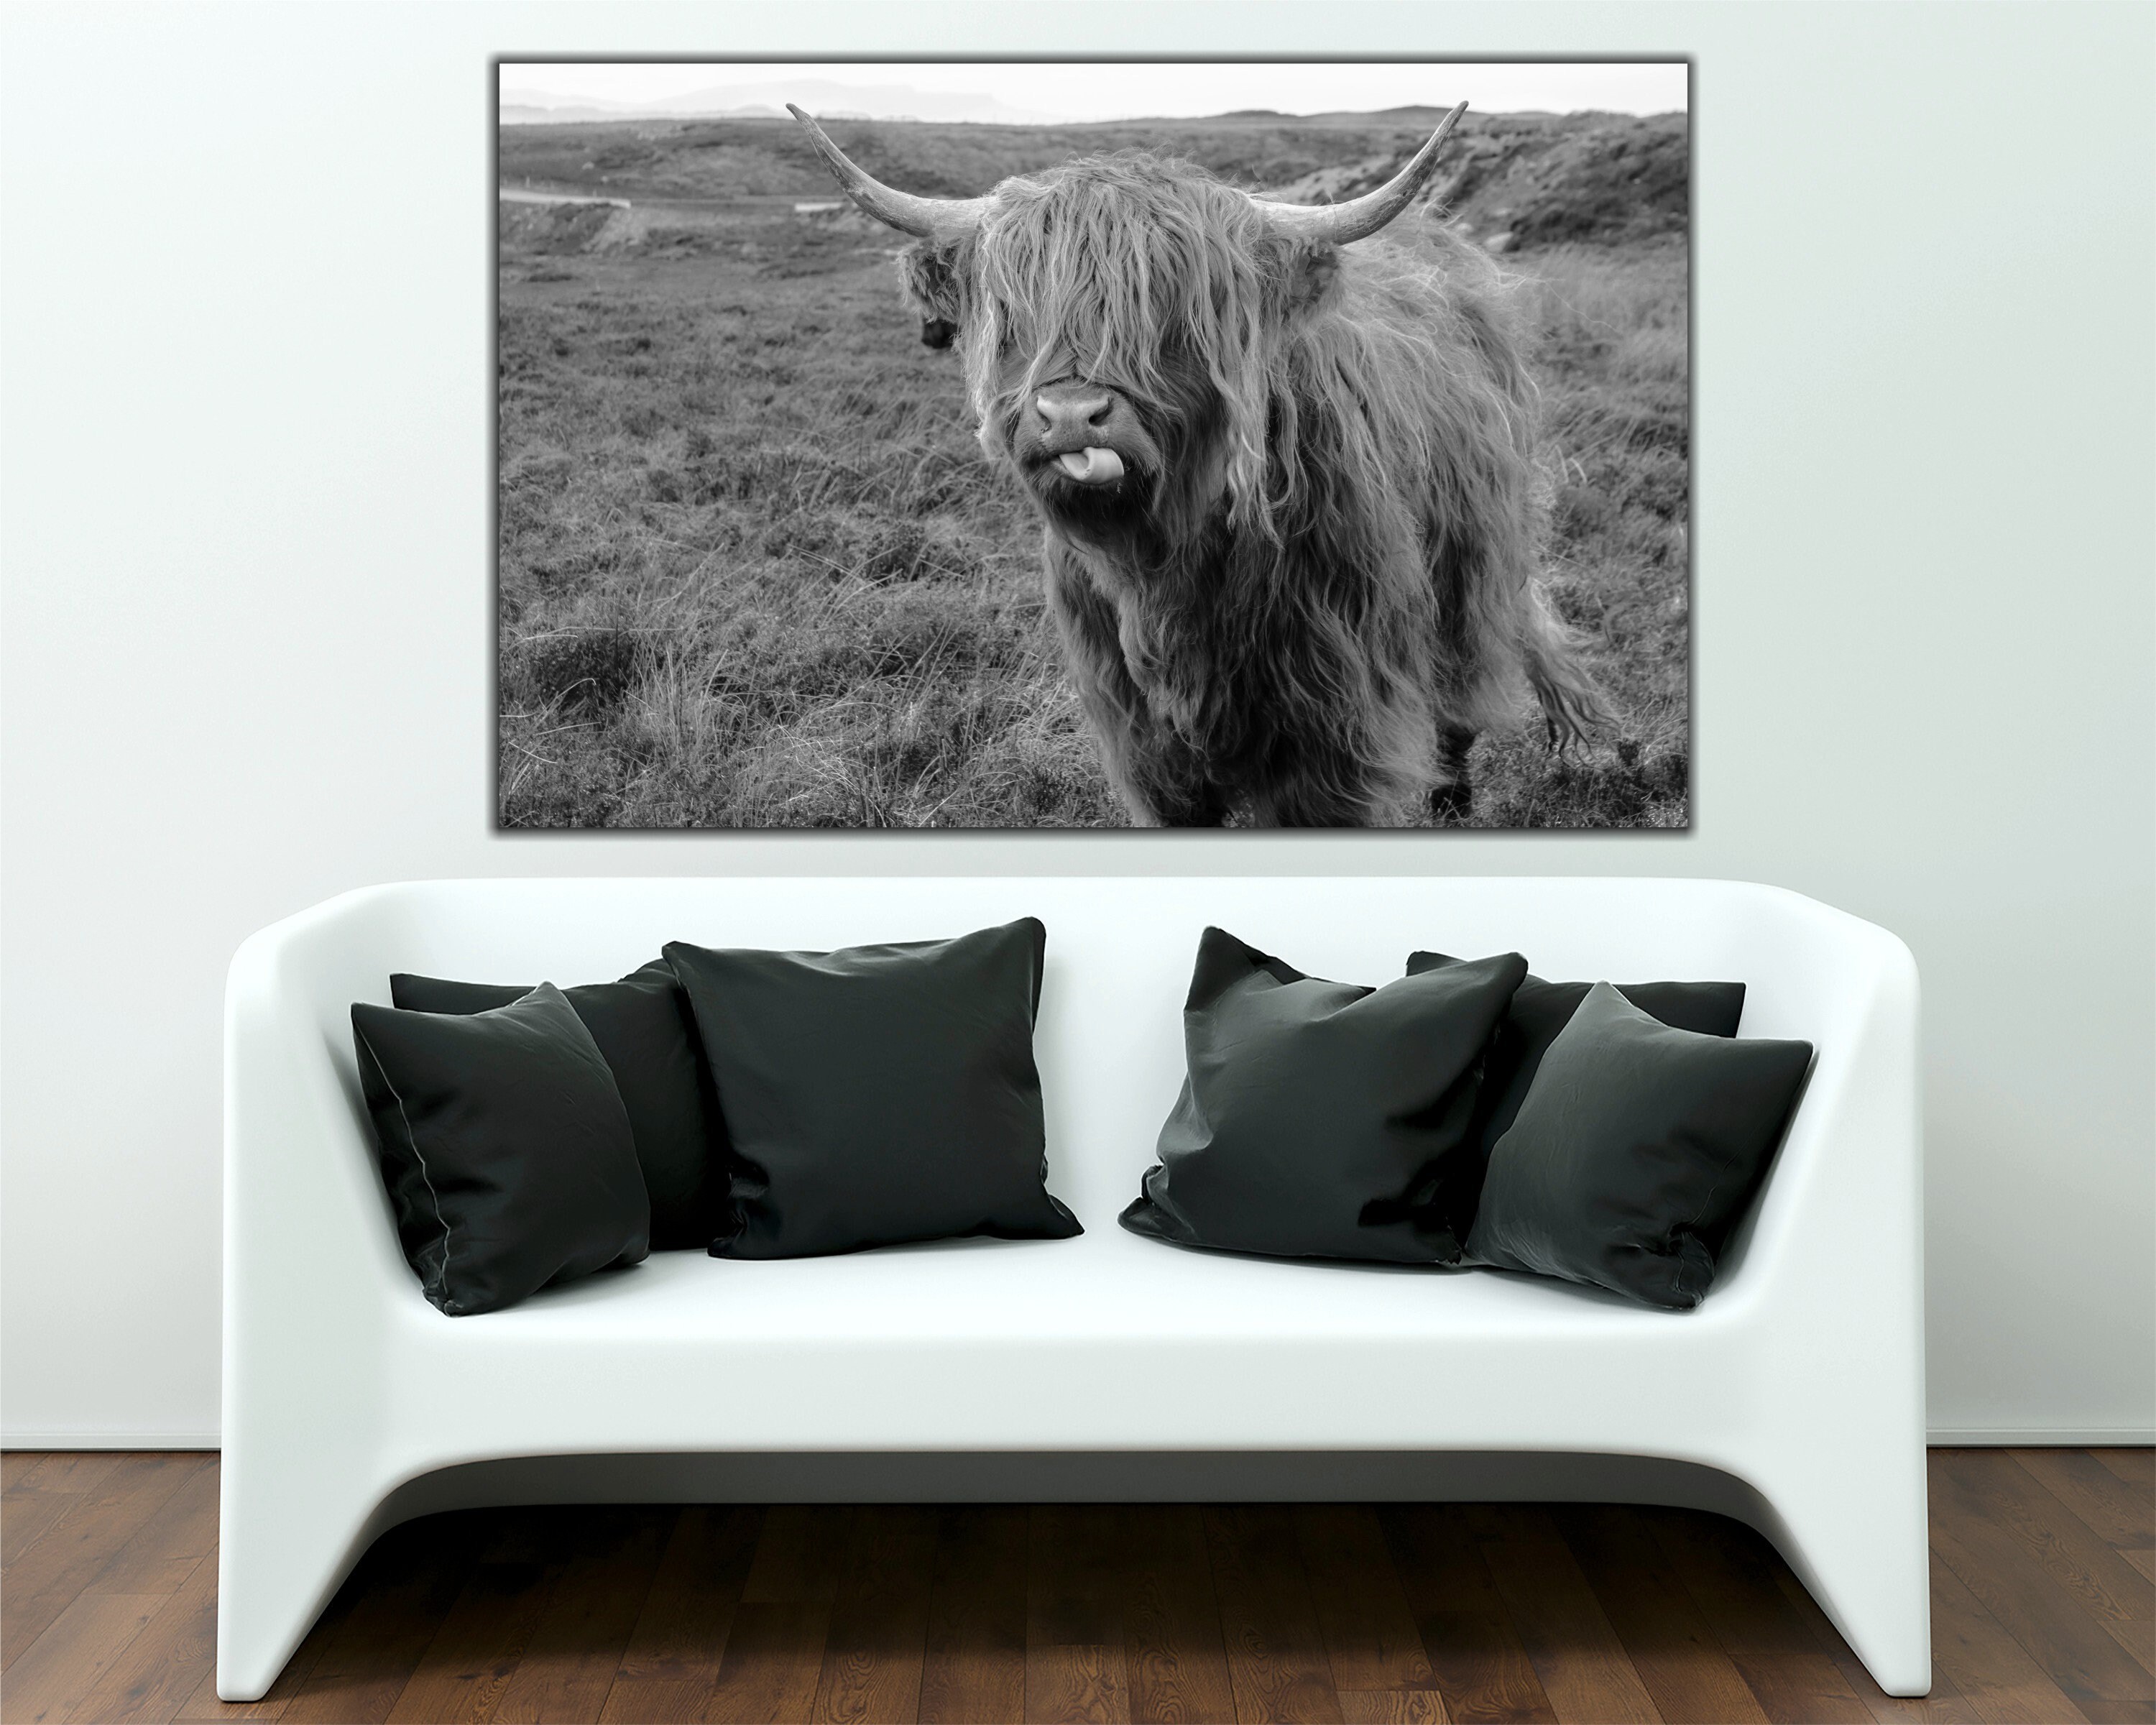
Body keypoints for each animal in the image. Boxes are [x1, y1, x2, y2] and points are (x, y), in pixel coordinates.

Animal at [790, 103, 1607, 826]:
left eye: (1174, 315)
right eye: (1014, 315)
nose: (1070, 416)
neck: (1165, 568)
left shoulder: (1330, 728)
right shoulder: (1143, 738)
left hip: (1471, 563)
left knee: (1461, 696)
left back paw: (1452, 795)